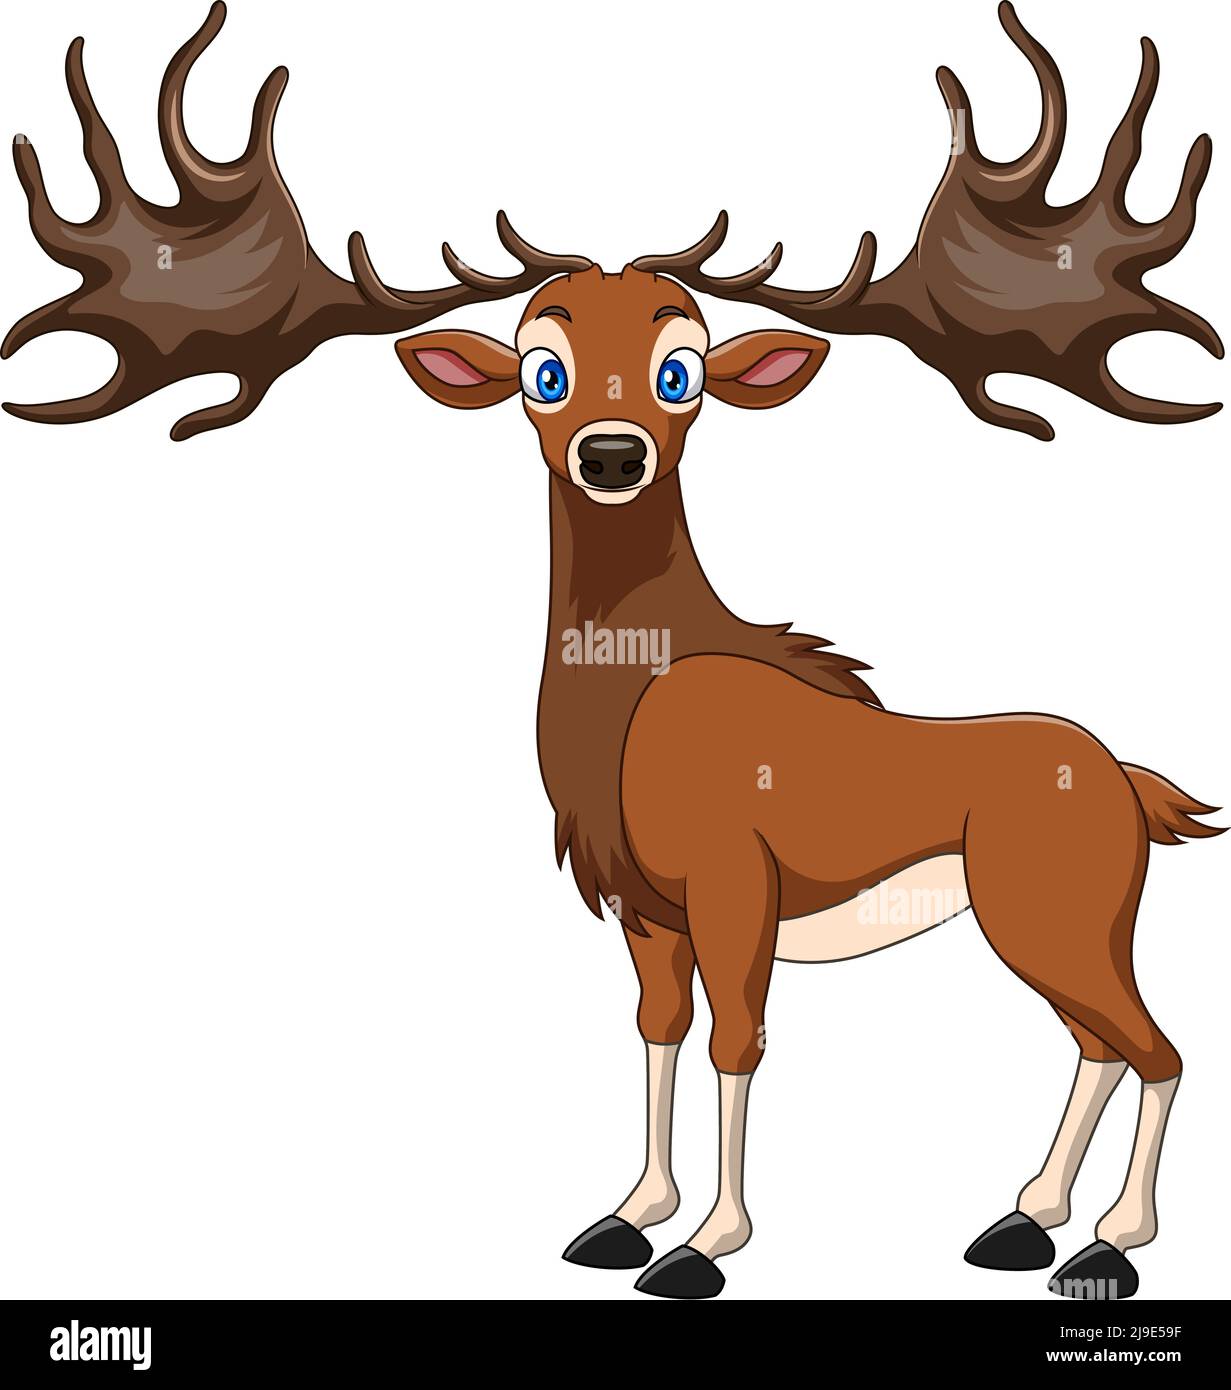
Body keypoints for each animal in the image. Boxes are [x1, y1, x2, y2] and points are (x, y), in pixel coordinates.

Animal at [3, 3, 1223, 1299]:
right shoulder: (646, 910)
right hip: (1045, 923)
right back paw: (1024, 1217)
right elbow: (658, 1031)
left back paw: (1108, 1239)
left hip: (1052, 914)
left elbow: (739, 1037)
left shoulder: (735, 882)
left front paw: (708, 1243)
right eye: (541, 369)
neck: (638, 691)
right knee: (1101, 1040)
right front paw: (628, 1214)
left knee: (1153, 1042)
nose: (610, 450)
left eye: (681, 370)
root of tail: (1131, 785)